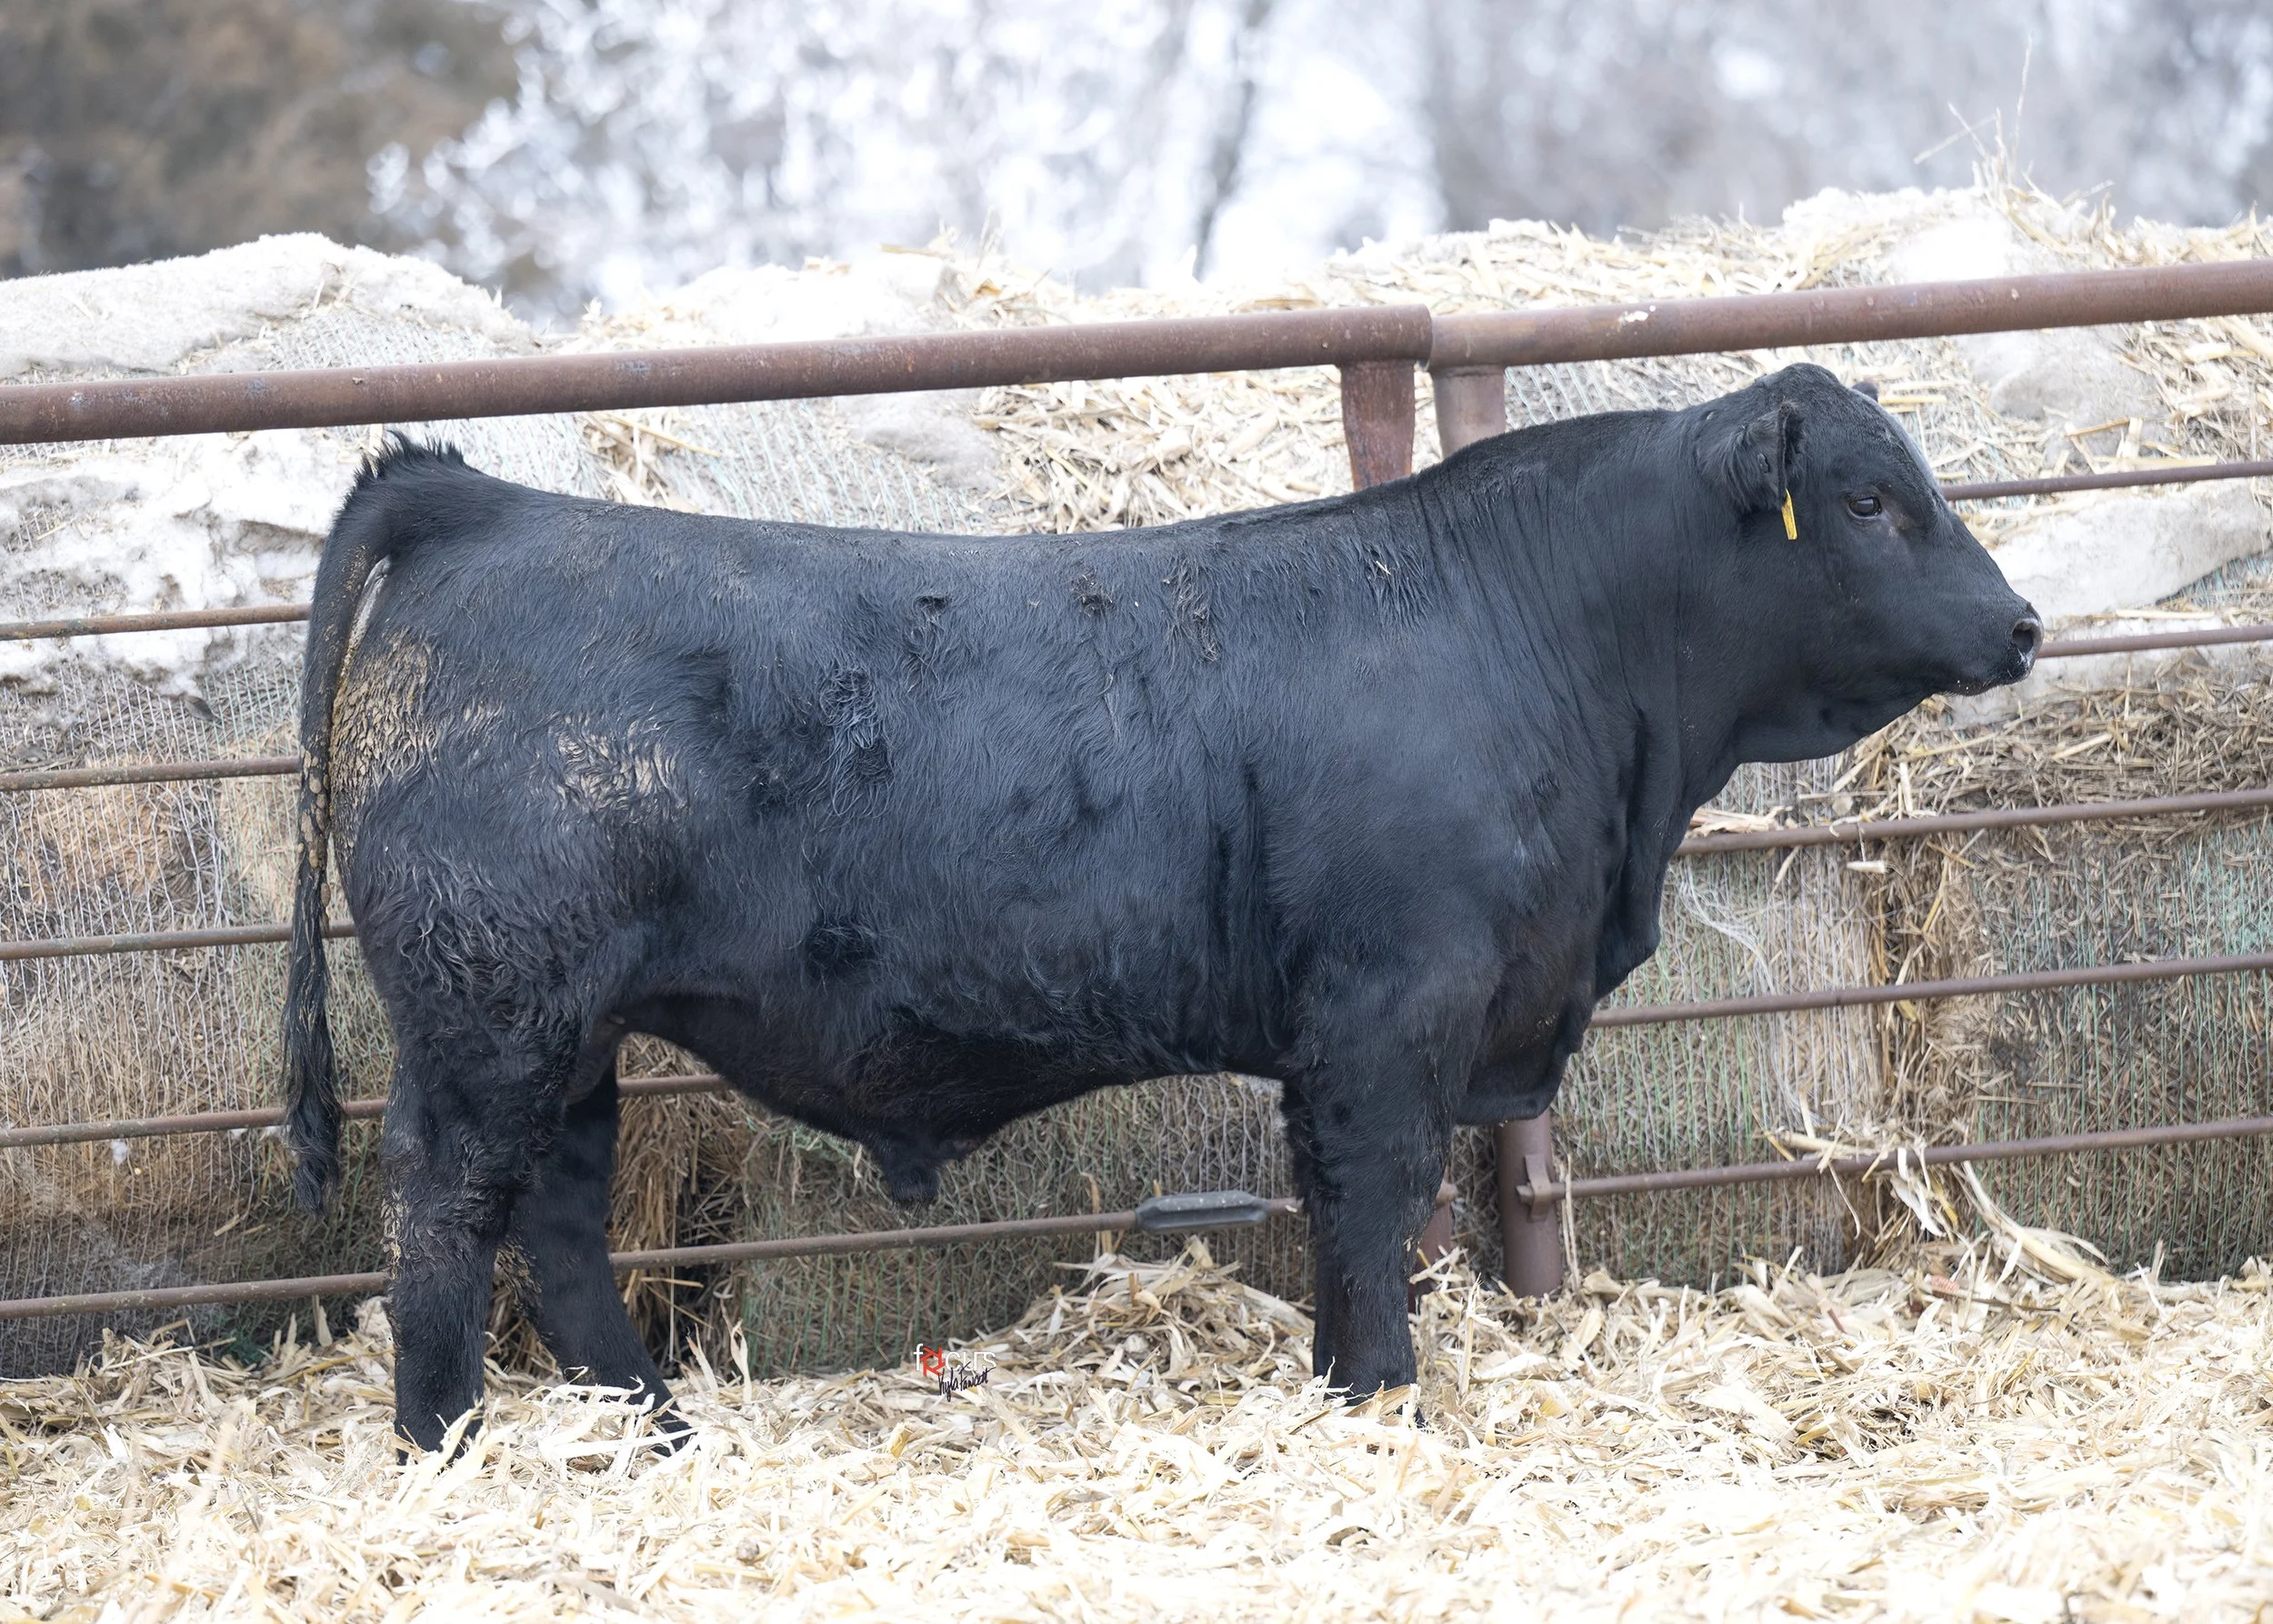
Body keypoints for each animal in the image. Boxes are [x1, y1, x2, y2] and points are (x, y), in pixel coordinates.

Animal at [280, 362, 2039, 1452]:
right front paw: (1383, 1397)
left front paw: (1345, 1388)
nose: (2022, 622)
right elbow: (1371, 1206)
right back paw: (444, 1441)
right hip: (492, 1014)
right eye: (1870, 502)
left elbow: (1337, 1209)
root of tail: (478, 498)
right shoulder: (1388, 1013)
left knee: (563, 1226)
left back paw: (651, 1427)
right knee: (446, 1210)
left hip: (568, 1030)